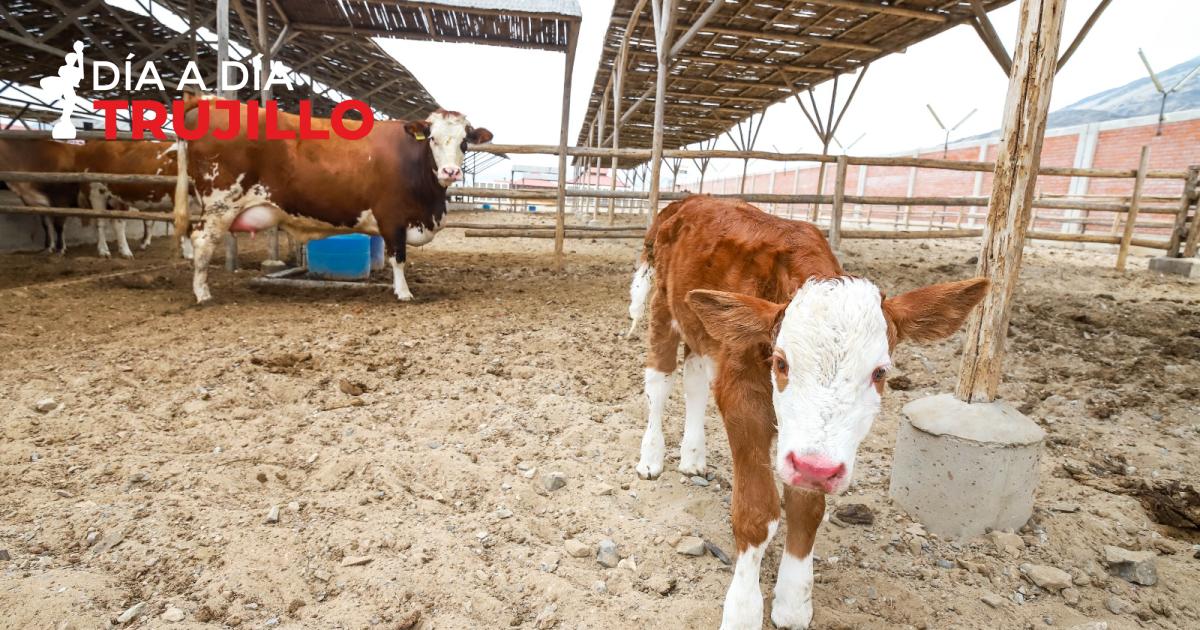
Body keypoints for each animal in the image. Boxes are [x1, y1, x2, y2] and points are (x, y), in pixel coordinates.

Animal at [181, 99, 492, 304]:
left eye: (465, 142)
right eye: (432, 139)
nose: (450, 171)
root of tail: (209, 103)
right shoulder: (392, 217)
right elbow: (399, 258)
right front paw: (403, 293)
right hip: (220, 204)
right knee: (202, 241)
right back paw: (202, 293)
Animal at [628, 195, 988, 630]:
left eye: (880, 373)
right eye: (781, 362)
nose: (817, 469)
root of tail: (687, 200)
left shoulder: (812, 449)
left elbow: (808, 508)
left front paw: (793, 601)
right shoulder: (743, 394)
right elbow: (756, 511)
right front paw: (743, 609)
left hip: (702, 325)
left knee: (695, 375)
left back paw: (693, 457)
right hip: (664, 306)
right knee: (659, 379)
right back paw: (651, 458)